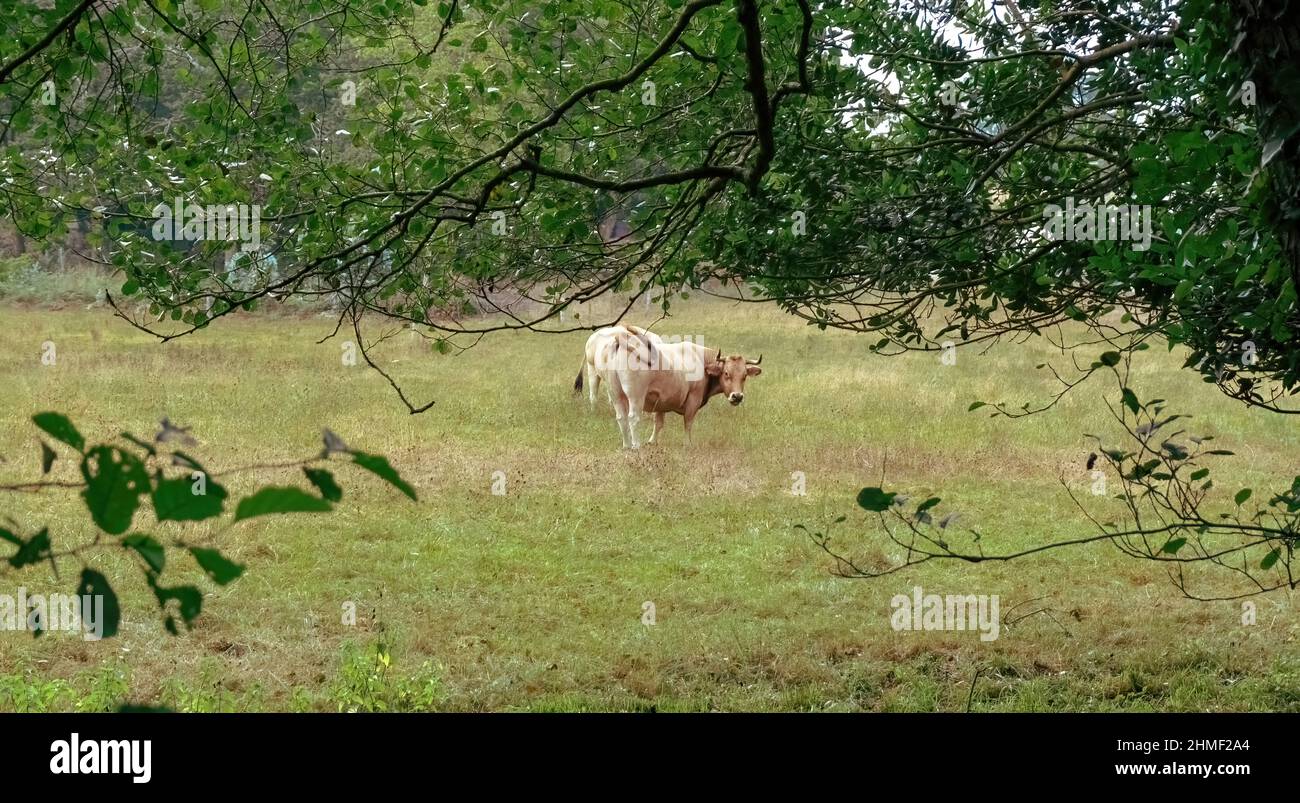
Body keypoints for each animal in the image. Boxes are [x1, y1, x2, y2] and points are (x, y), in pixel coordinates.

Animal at [590, 328, 762, 449]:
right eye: (726, 373)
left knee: (621, 418)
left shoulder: (660, 402)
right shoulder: (693, 400)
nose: (737, 396)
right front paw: (688, 444)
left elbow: (658, 423)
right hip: (635, 396)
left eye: (744, 375)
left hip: (616, 394)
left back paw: (626, 445)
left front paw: (652, 442)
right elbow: (688, 423)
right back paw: (635, 445)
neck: (702, 360)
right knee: (633, 418)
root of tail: (621, 339)